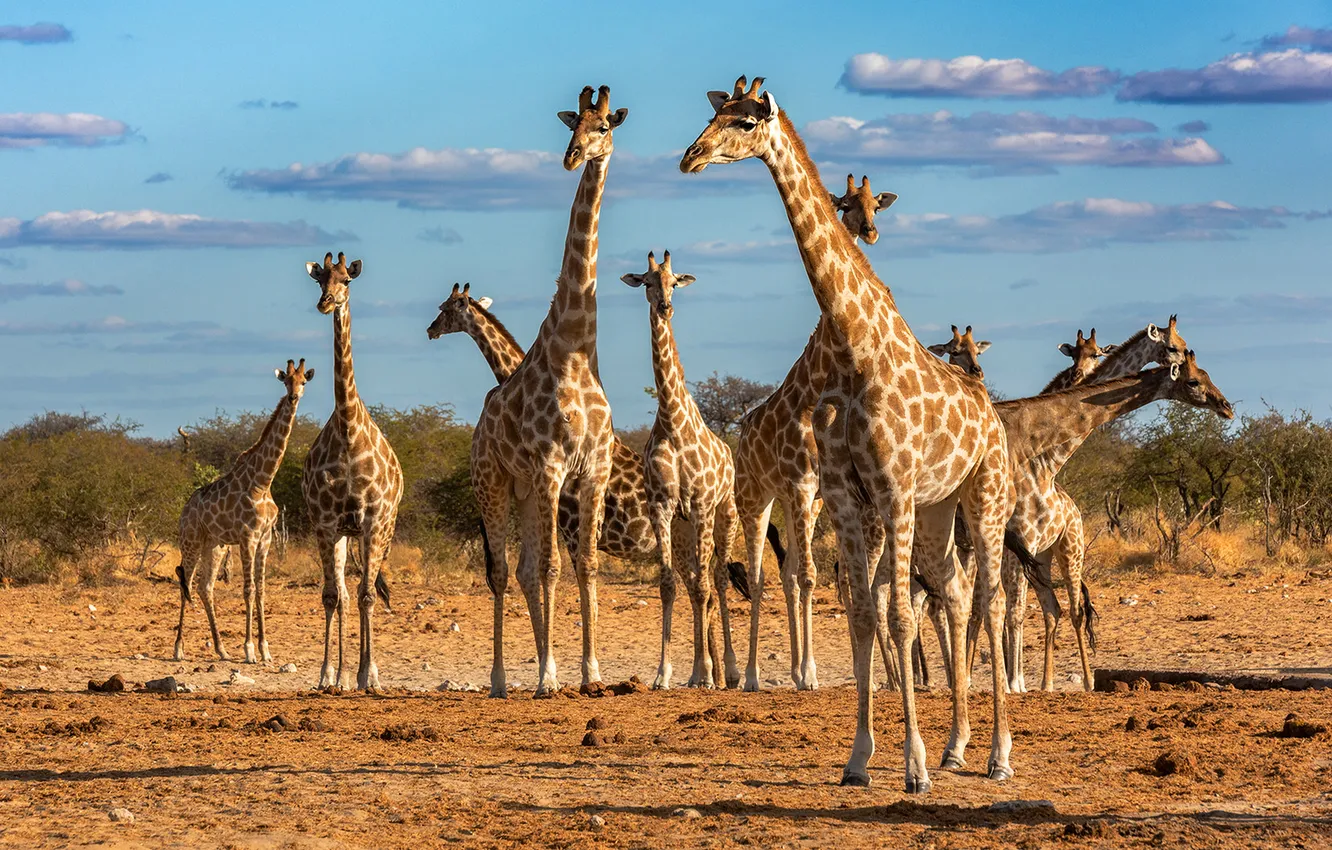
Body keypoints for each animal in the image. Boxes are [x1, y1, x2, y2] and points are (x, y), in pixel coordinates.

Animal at [174, 359, 313, 664]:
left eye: (303, 382)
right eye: (286, 381)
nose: (294, 397)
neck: (263, 480)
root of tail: (185, 509)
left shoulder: (265, 539)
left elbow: (261, 591)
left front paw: (265, 649)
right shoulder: (248, 537)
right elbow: (247, 590)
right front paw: (249, 650)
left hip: (215, 545)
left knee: (205, 587)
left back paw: (221, 649)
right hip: (191, 541)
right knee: (185, 582)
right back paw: (178, 649)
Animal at [427, 283, 729, 689]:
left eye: (446, 308)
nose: (431, 330)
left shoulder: (573, 528)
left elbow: (580, 586)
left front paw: (579, 669)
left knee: (704, 589)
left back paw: (711, 674)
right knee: (702, 589)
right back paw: (711, 673)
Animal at [471, 85, 626, 697]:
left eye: (604, 125)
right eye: (570, 124)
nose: (572, 155)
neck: (576, 347)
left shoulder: (593, 468)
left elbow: (585, 564)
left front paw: (591, 673)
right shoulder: (553, 465)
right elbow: (554, 568)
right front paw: (546, 678)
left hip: (524, 489)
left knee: (525, 568)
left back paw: (546, 666)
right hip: (494, 482)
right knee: (502, 571)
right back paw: (502, 679)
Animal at [624, 250, 742, 688]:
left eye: (674, 281)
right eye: (647, 282)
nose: (665, 306)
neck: (673, 421)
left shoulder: (704, 505)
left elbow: (708, 586)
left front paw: (709, 674)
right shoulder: (661, 507)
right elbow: (668, 585)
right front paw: (665, 674)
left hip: (725, 515)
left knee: (718, 580)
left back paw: (729, 672)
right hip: (684, 527)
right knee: (694, 583)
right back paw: (699, 670)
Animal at [732, 173, 899, 693]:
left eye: (876, 205)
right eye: (846, 204)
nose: (868, 231)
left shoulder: (818, 491)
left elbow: (817, 576)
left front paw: (814, 671)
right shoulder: (800, 486)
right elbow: (808, 576)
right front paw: (807, 673)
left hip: (797, 501)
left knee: (787, 574)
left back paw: (791, 667)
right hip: (755, 497)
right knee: (762, 577)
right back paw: (752, 675)